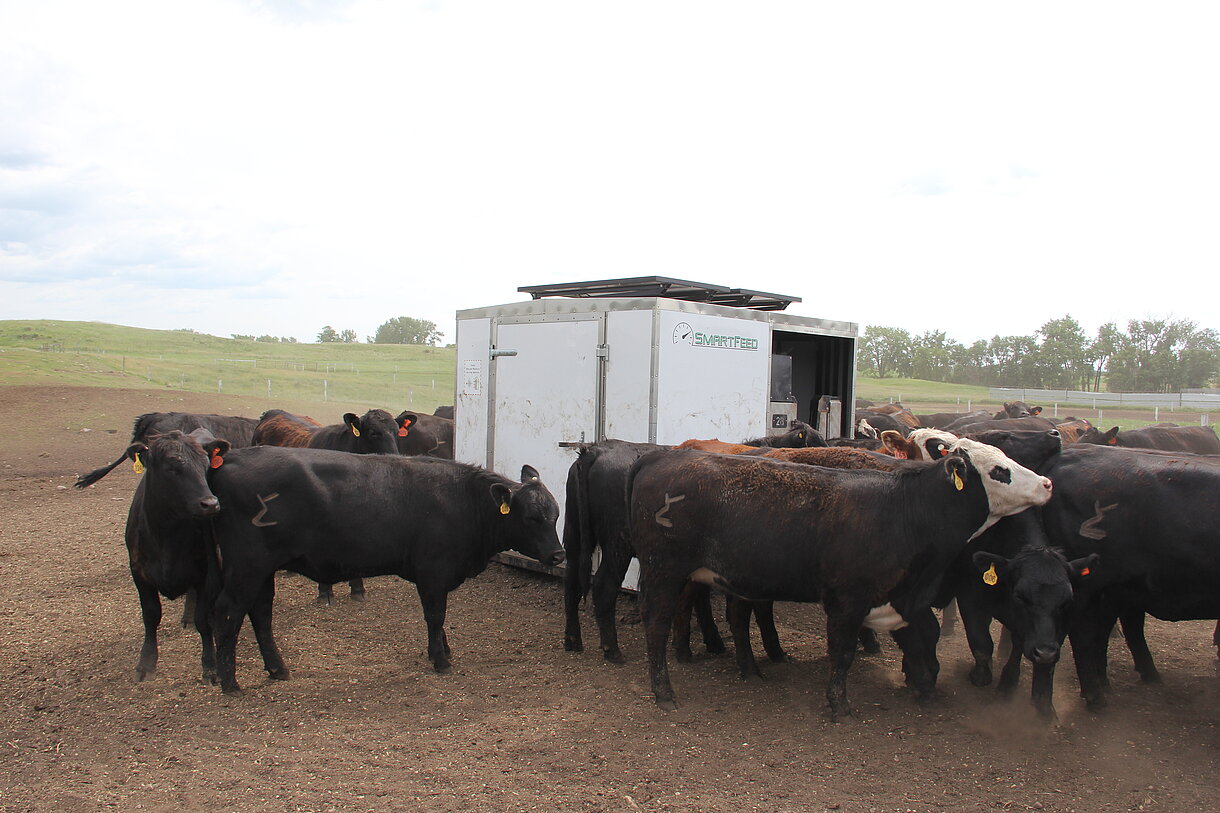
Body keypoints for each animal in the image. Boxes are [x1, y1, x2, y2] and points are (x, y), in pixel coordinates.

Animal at [122, 430, 286, 685]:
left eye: (205, 467)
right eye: (171, 468)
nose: (210, 504)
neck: (166, 535)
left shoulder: (205, 575)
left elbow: (203, 620)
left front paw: (210, 666)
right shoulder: (139, 572)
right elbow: (150, 615)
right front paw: (145, 663)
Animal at [204, 448, 565, 693]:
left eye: (556, 514)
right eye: (531, 517)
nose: (558, 554)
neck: (463, 499)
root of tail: (233, 458)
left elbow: (439, 619)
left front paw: (442, 650)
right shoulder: (433, 574)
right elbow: (436, 616)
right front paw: (441, 659)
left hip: (261, 571)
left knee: (260, 613)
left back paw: (277, 669)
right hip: (248, 566)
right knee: (227, 611)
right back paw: (229, 681)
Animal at [253, 408, 402, 603]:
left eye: (396, 431)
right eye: (373, 432)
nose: (395, 459)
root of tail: (271, 413)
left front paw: (357, 589)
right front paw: (325, 592)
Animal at [628, 440, 1053, 716]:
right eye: (999, 471)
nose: (1046, 484)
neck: (903, 509)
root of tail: (661, 456)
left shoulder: (903, 599)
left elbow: (922, 638)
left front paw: (925, 686)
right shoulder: (848, 600)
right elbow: (843, 653)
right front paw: (839, 704)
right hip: (664, 570)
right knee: (656, 625)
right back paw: (663, 692)